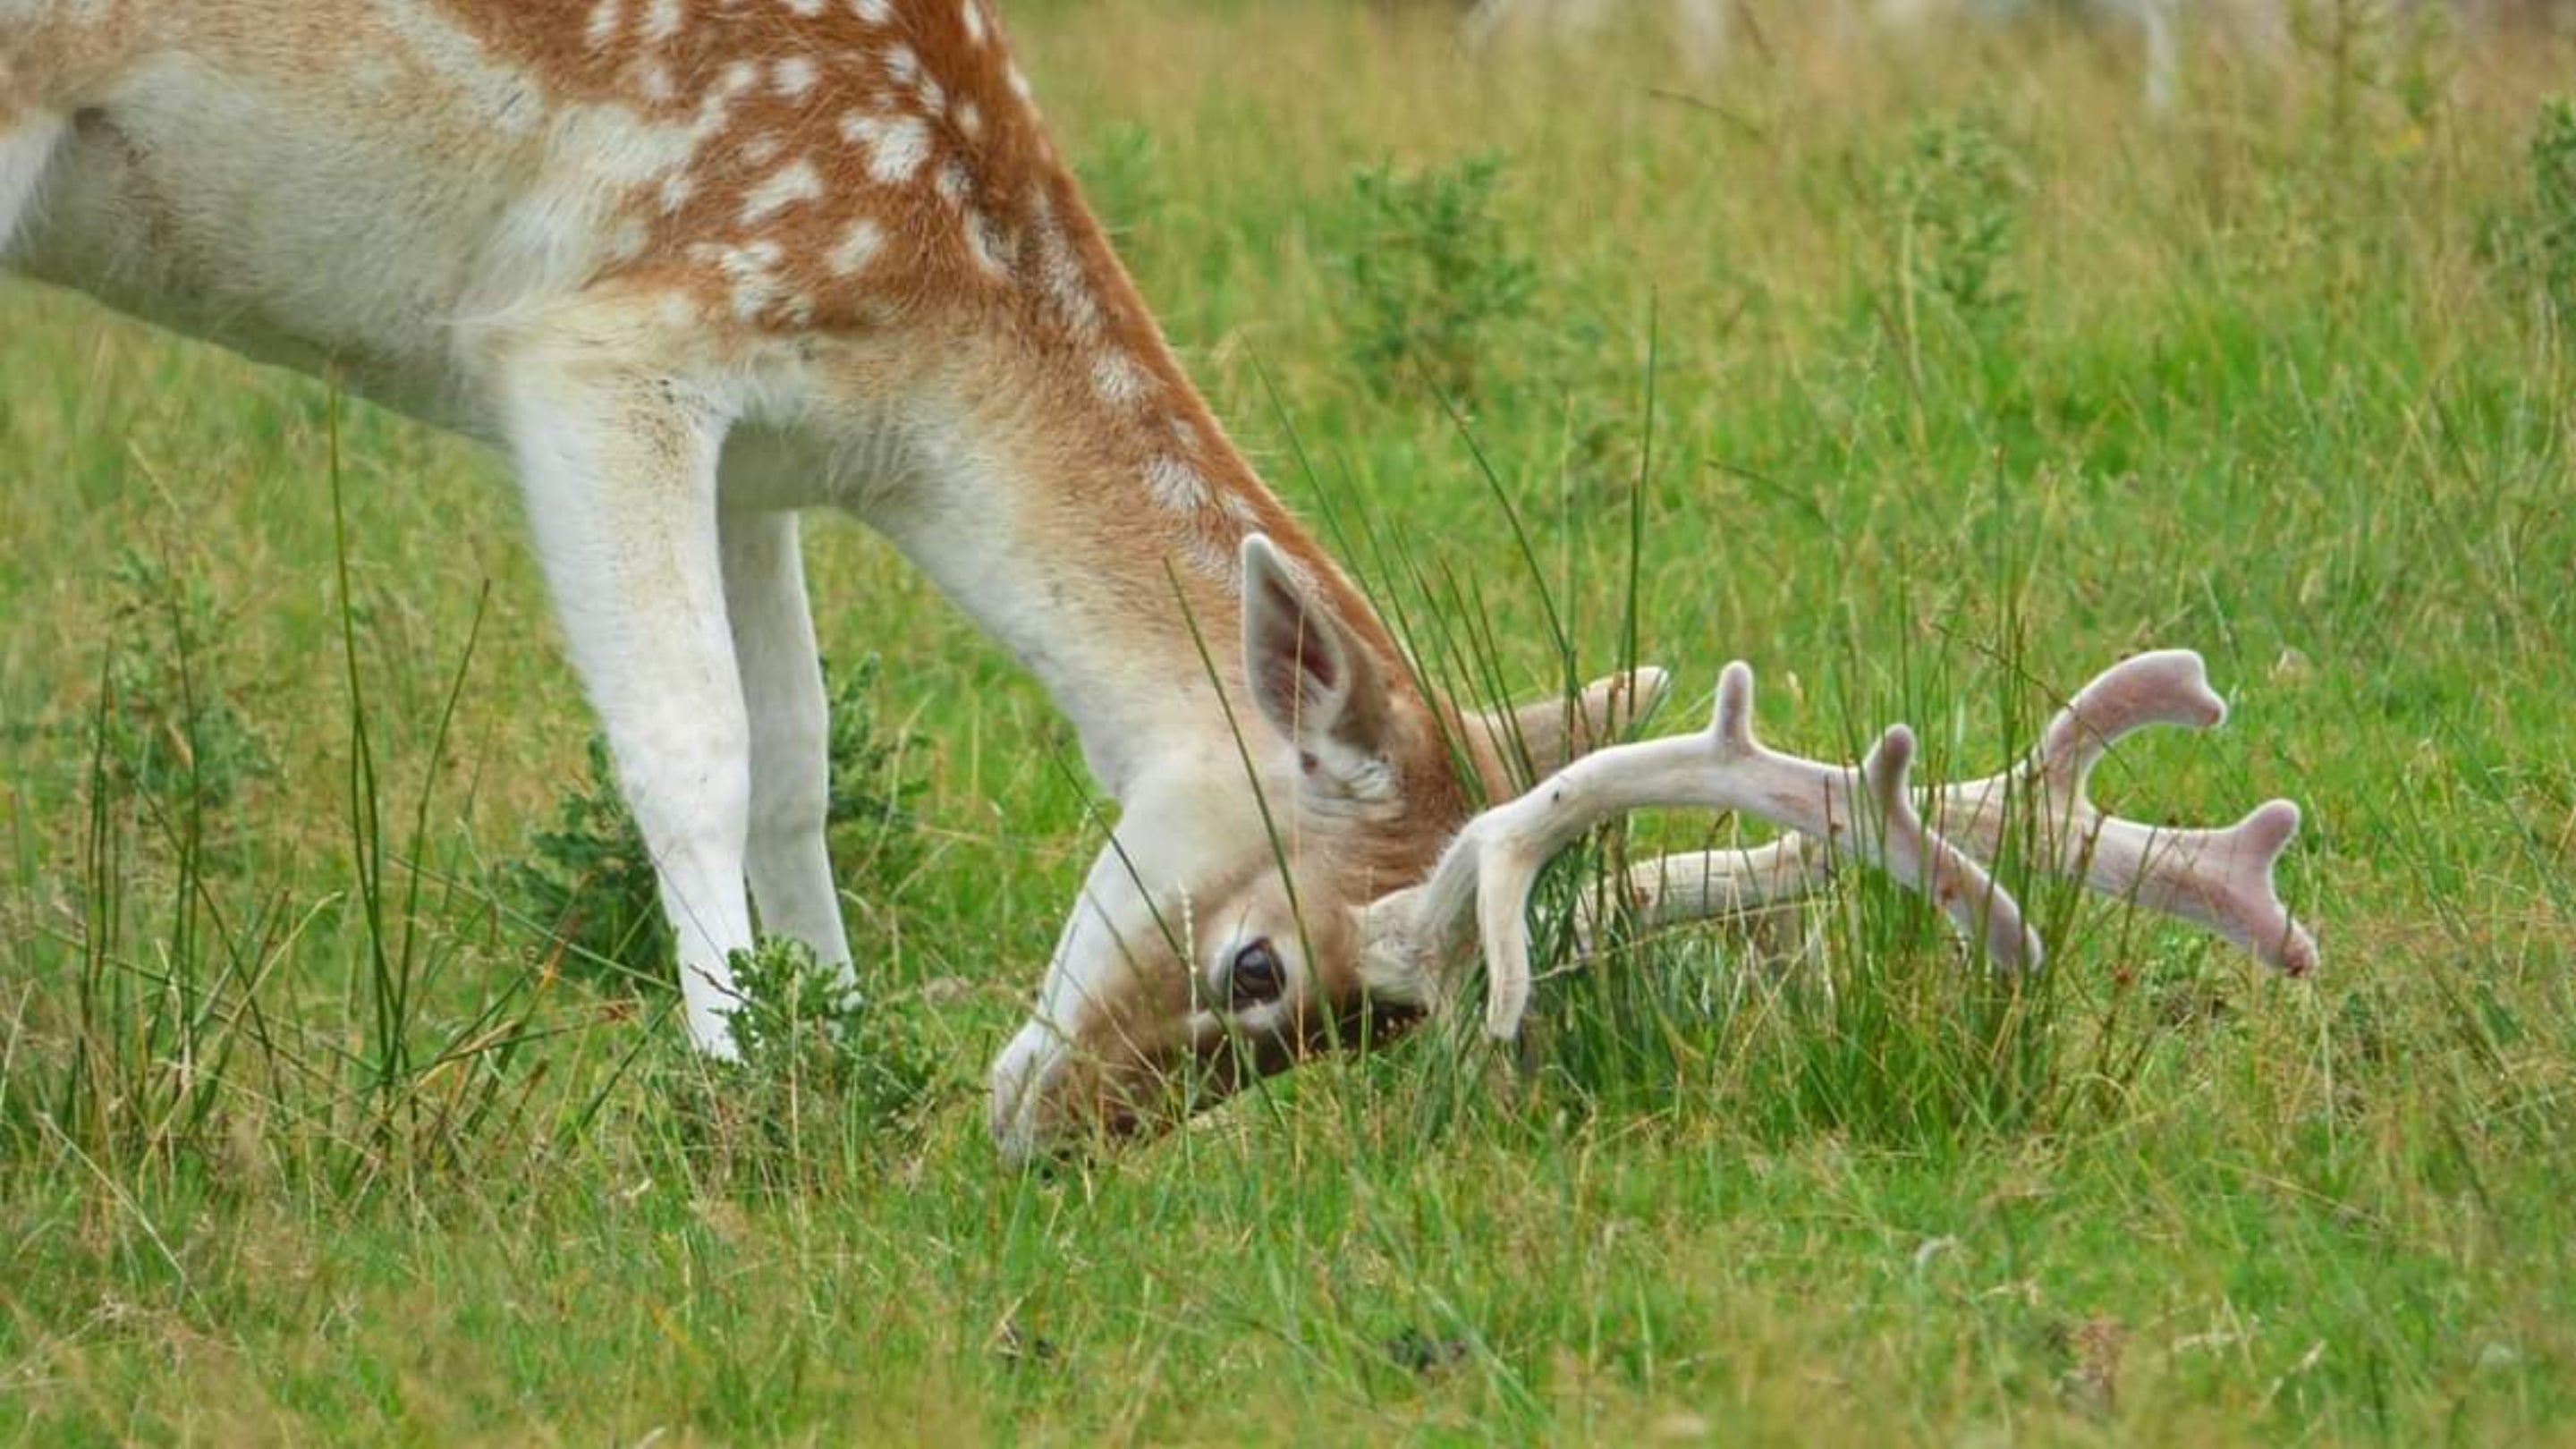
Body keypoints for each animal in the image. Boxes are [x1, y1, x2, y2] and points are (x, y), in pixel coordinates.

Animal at [0, 0, 2314, 1165]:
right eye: (1263, 972)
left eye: (1376, 1034)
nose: (1053, 1136)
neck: (923, 331)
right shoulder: (593, 340)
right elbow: (688, 744)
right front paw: (739, 1107)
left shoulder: (768, 433)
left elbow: (803, 759)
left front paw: (841, 1061)